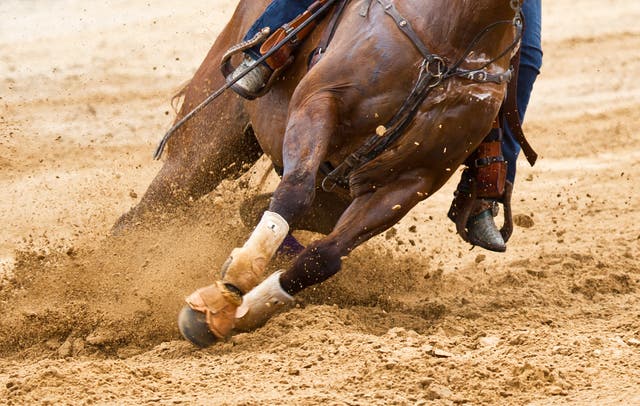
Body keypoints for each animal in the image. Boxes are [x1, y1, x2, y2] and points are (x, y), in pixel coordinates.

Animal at [115, 0, 524, 347]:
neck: (453, 33)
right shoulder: (319, 101)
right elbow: (295, 192)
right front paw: (231, 286)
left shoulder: (411, 181)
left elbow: (323, 257)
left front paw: (231, 311)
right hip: (205, 150)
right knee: (143, 216)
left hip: (329, 199)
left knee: (253, 209)